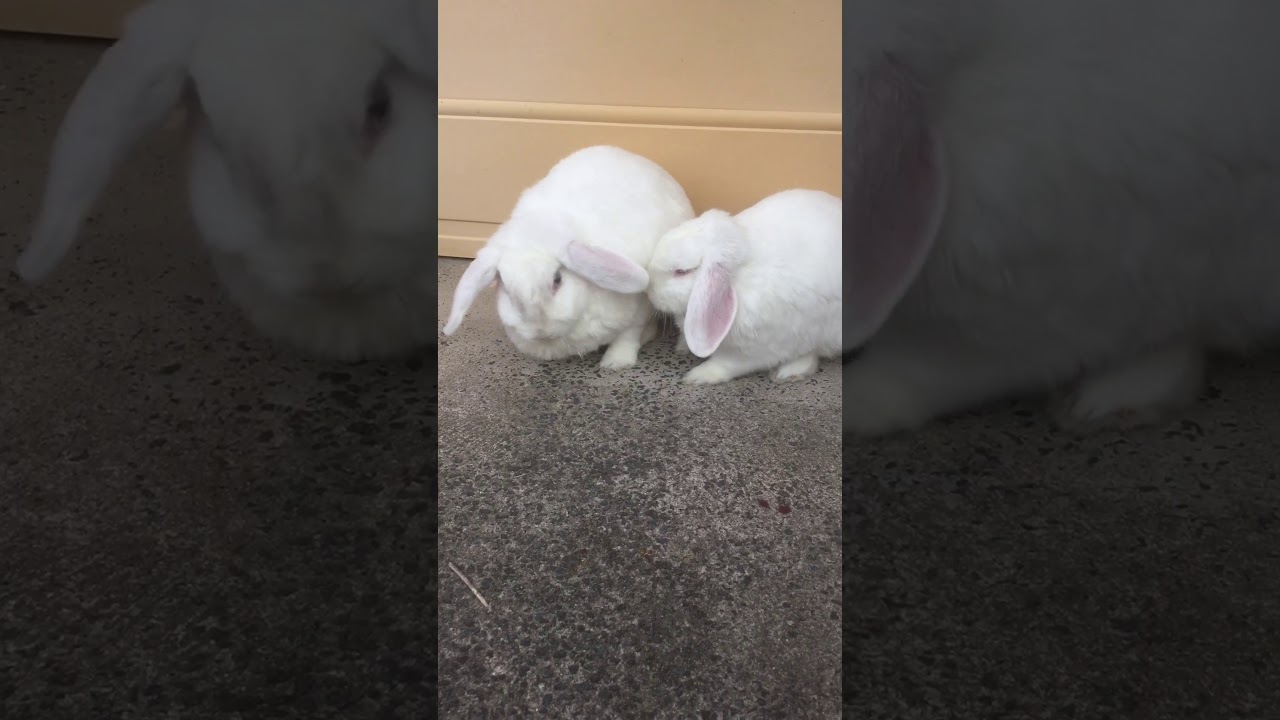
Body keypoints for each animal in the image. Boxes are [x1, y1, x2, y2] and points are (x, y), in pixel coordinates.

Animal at [442, 145, 695, 369]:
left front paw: (616, 362)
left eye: (557, 280)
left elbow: (628, 335)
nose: (540, 331)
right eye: (505, 287)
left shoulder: (638, 308)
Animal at [647, 189, 842, 385]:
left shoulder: (760, 347)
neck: (737, 279)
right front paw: (682, 346)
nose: (650, 292)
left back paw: (788, 372)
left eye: (681, 271)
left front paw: (698, 376)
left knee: (811, 352)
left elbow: (728, 364)